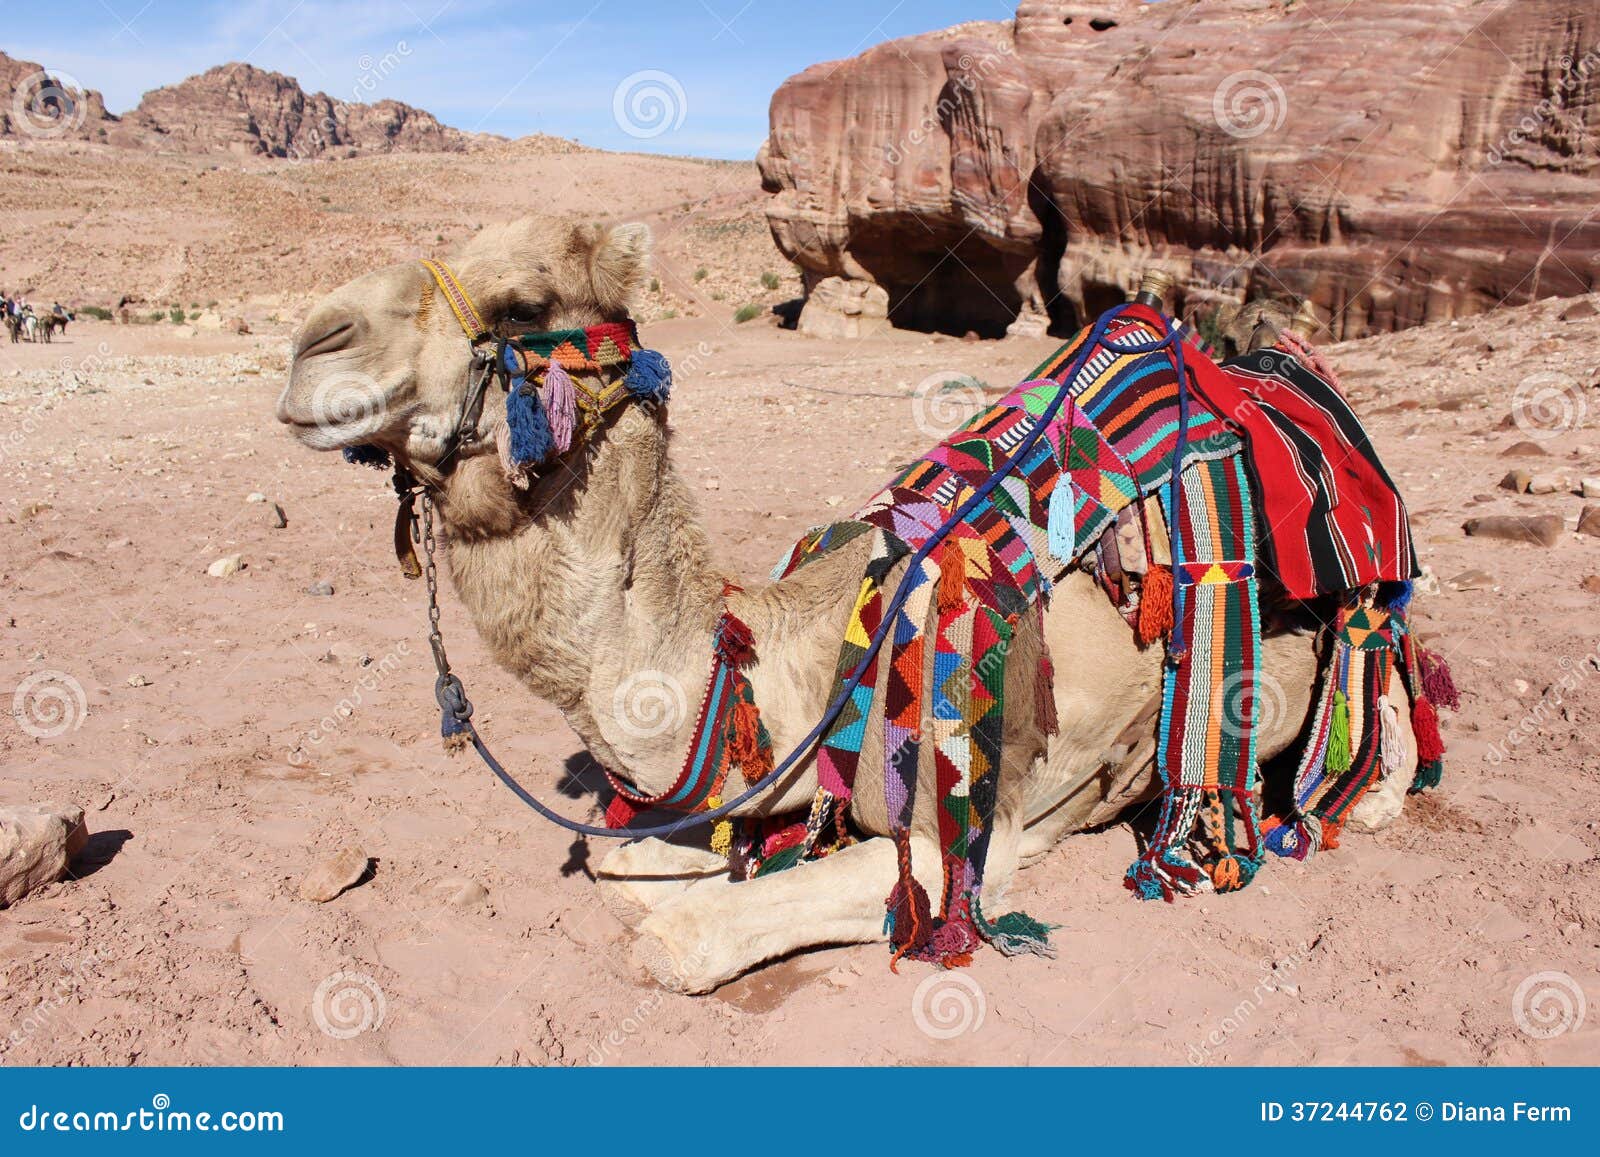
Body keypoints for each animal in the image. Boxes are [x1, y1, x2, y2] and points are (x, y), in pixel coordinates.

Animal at [277, 217, 1420, 993]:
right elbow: (619, 854)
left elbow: (681, 936)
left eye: (518, 303)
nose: (312, 341)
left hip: (1361, 606)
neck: (801, 659)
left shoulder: (971, 835)